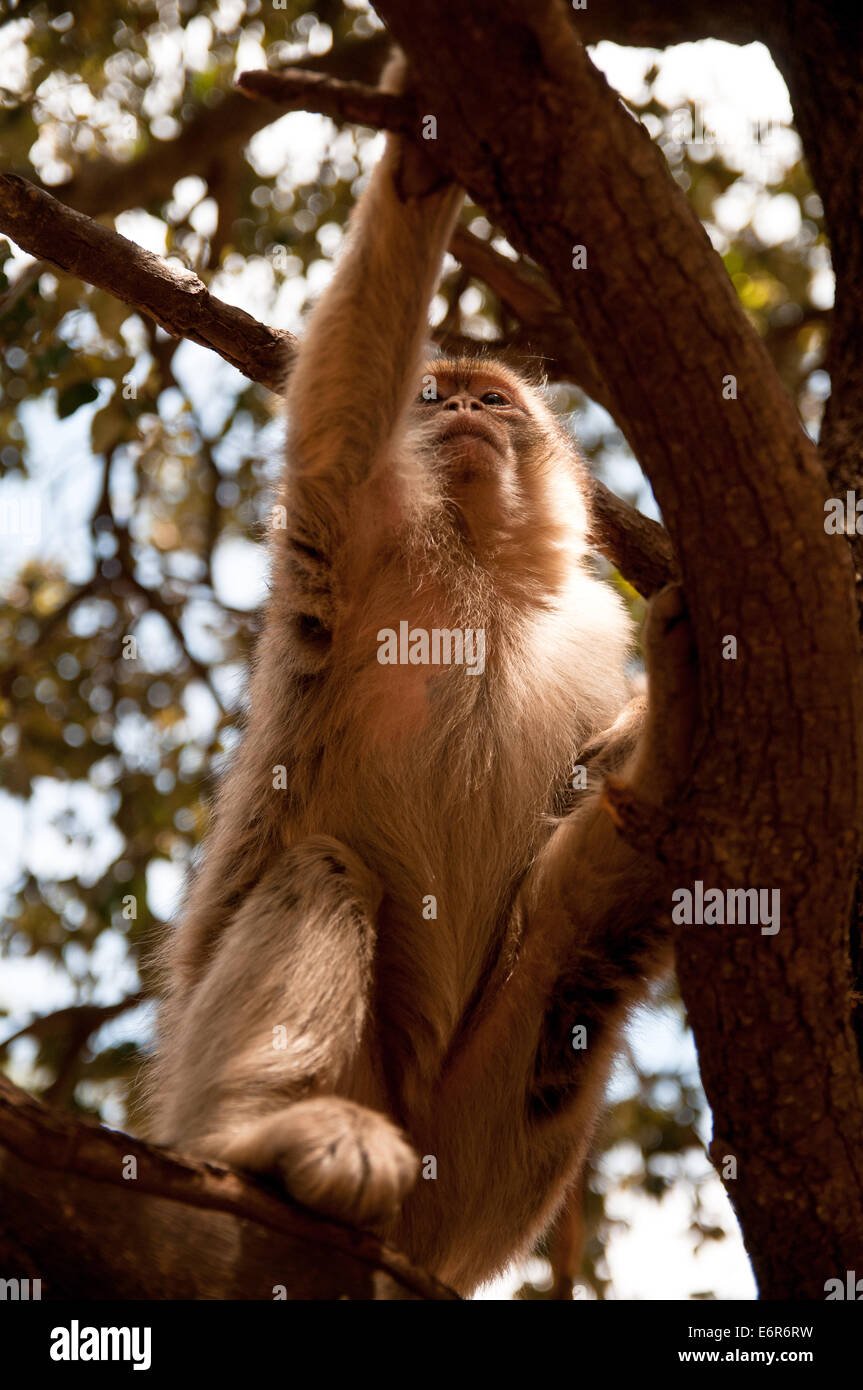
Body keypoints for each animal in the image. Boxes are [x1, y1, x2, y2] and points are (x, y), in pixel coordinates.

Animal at [150, 62, 697, 1296]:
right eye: (438, 399)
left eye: (491, 403)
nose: (462, 416)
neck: (484, 581)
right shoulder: (363, 534)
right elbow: (341, 412)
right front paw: (423, 135)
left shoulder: (586, 618)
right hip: (340, 1103)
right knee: (322, 871)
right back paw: (274, 1134)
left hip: (476, 1174)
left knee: (590, 912)